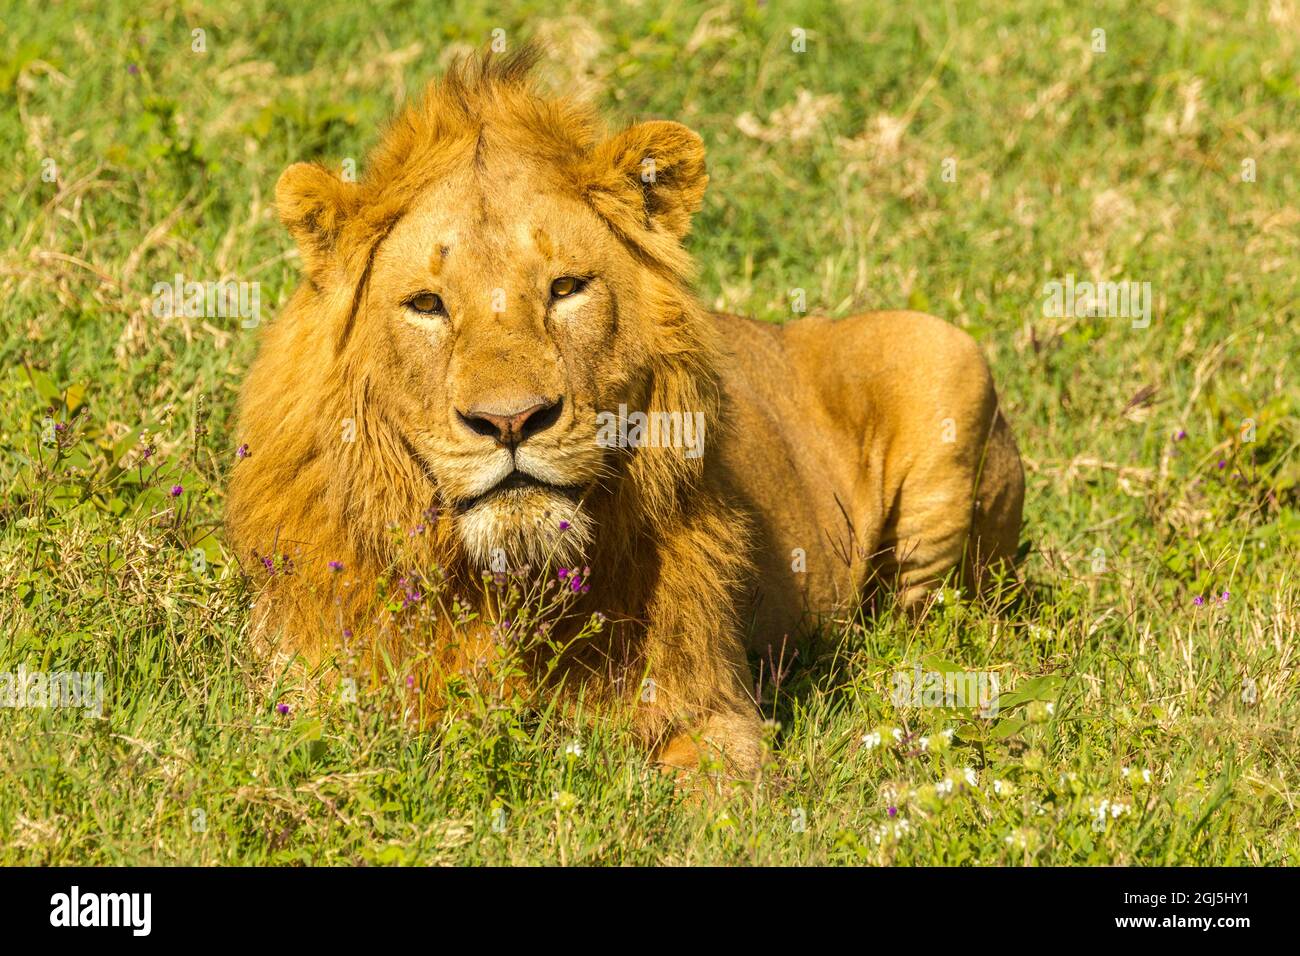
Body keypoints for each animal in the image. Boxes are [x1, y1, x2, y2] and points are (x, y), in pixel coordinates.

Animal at [226, 48, 1024, 778]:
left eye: (566, 288)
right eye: (427, 304)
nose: (511, 422)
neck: (501, 588)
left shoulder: (710, 706)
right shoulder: (302, 686)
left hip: (947, 358)